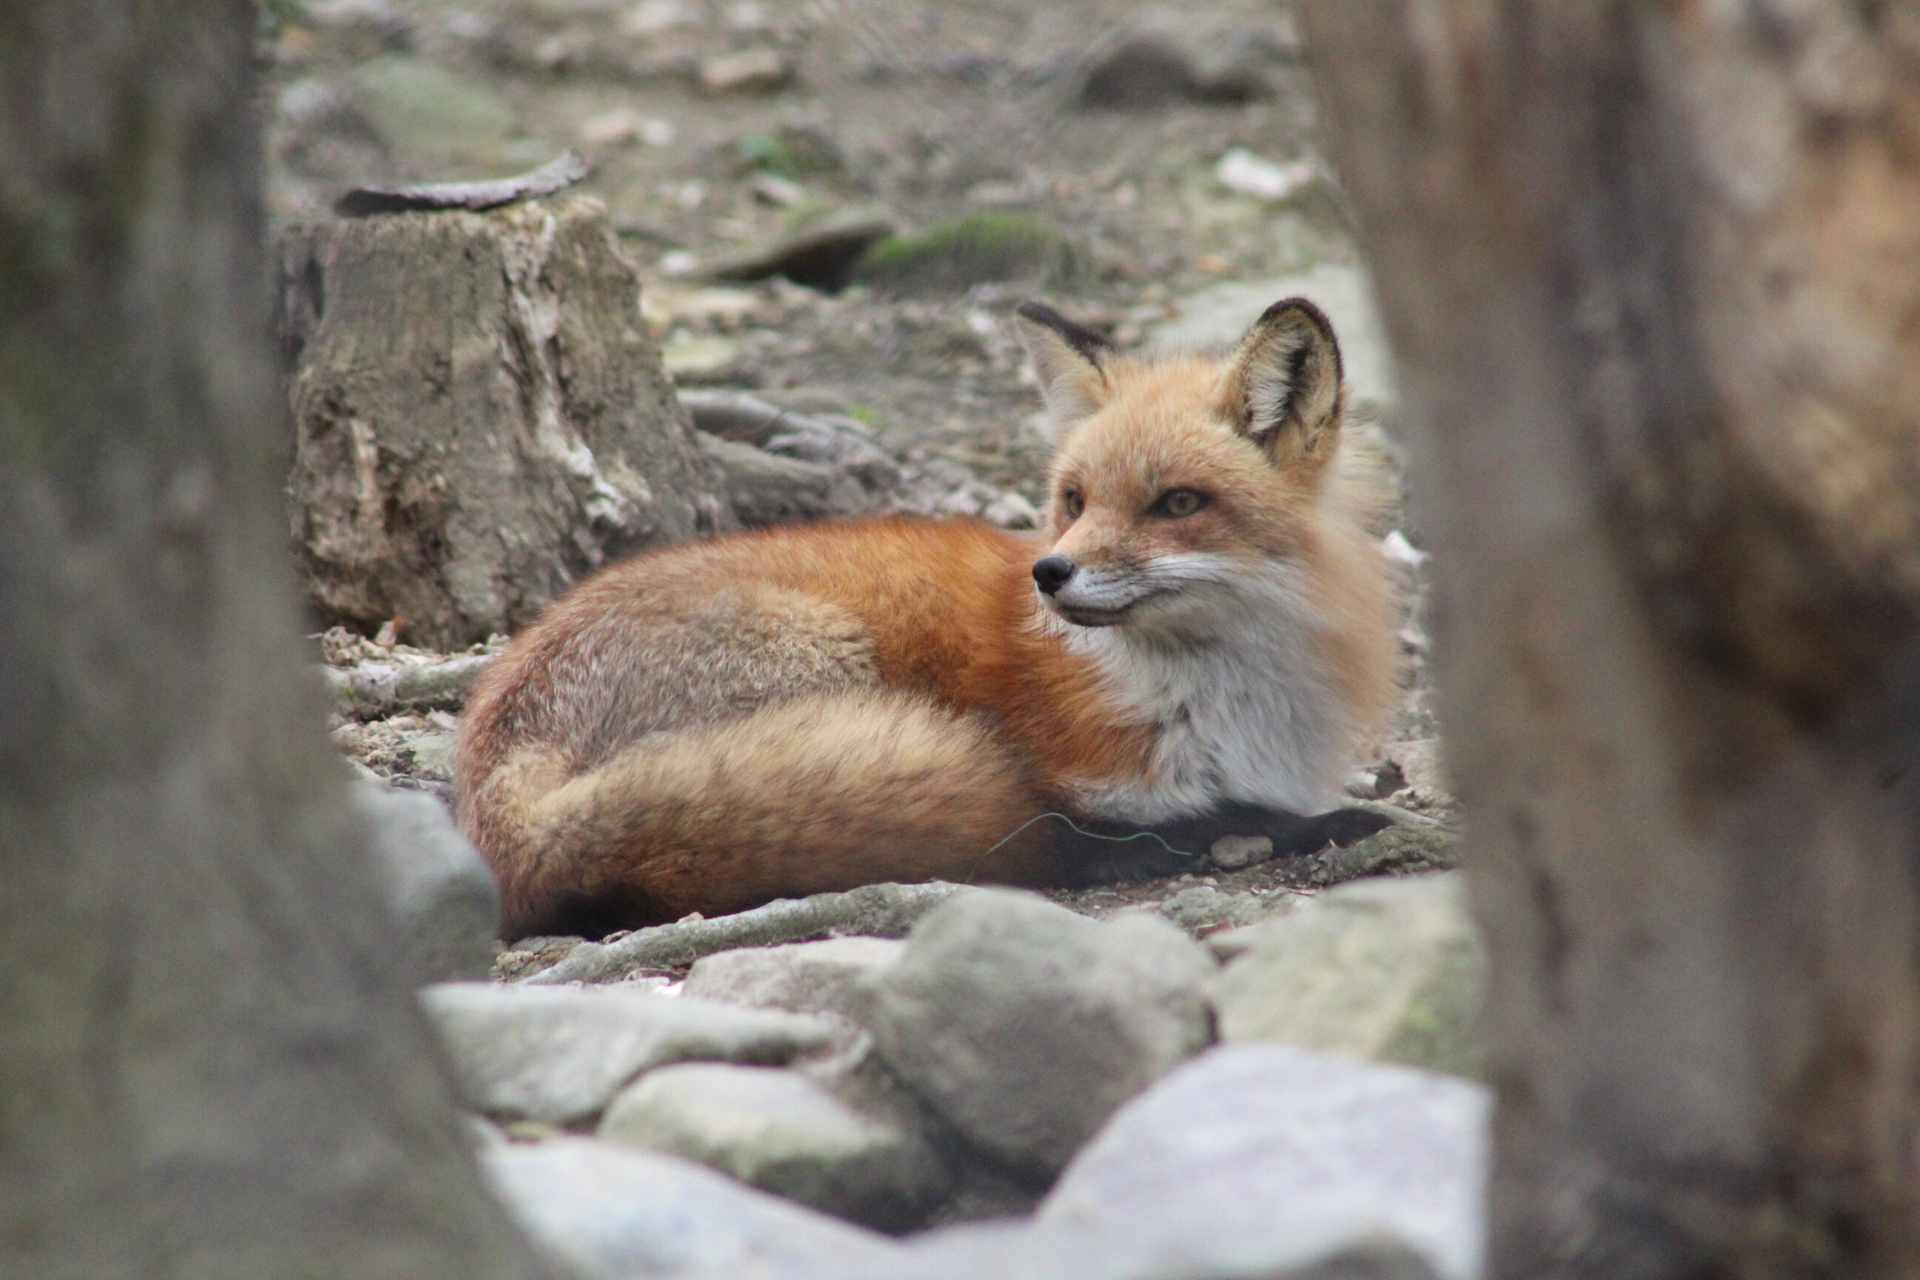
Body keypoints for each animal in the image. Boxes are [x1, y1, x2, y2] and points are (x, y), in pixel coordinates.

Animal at [454, 297, 1399, 938]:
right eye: (1074, 500)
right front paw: (1318, 824)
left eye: (1177, 503)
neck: (1221, 697)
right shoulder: (1091, 783)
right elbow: (1183, 821)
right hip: (827, 655)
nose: (1049, 574)